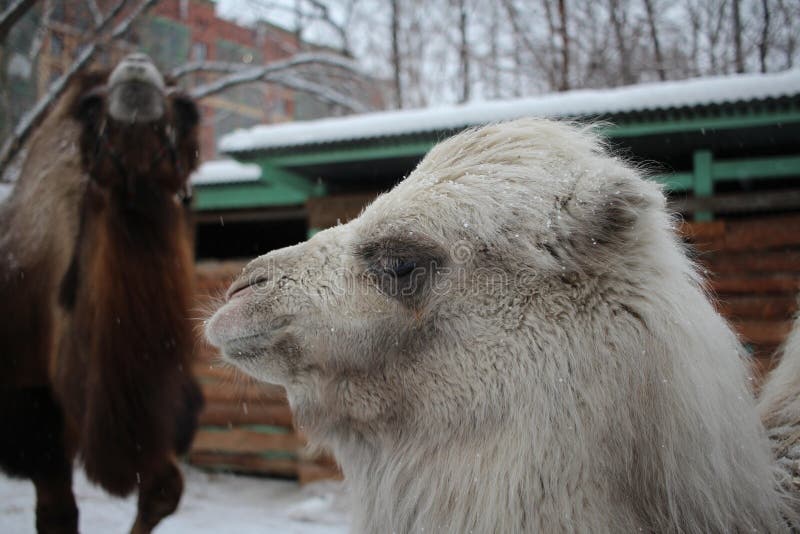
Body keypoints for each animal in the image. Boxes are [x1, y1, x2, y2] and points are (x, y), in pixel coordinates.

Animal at [0, 54, 202, 533]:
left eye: (188, 110)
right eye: (90, 109)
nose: (136, 69)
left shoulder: (158, 419)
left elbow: (164, 489)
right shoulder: (32, 417)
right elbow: (58, 514)